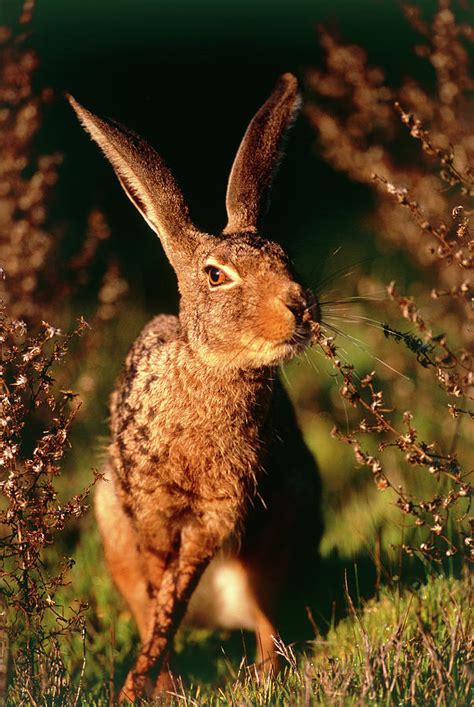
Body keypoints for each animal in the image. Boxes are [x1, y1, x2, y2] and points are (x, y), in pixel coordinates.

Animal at [68, 73, 322, 702]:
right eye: (215, 275)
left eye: (286, 256)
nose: (301, 306)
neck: (212, 369)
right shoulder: (149, 508)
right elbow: (164, 598)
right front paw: (140, 685)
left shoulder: (219, 508)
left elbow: (176, 591)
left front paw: (139, 683)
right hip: (112, 525)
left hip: (281, 534)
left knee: (267, 621)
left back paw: (263, 676)